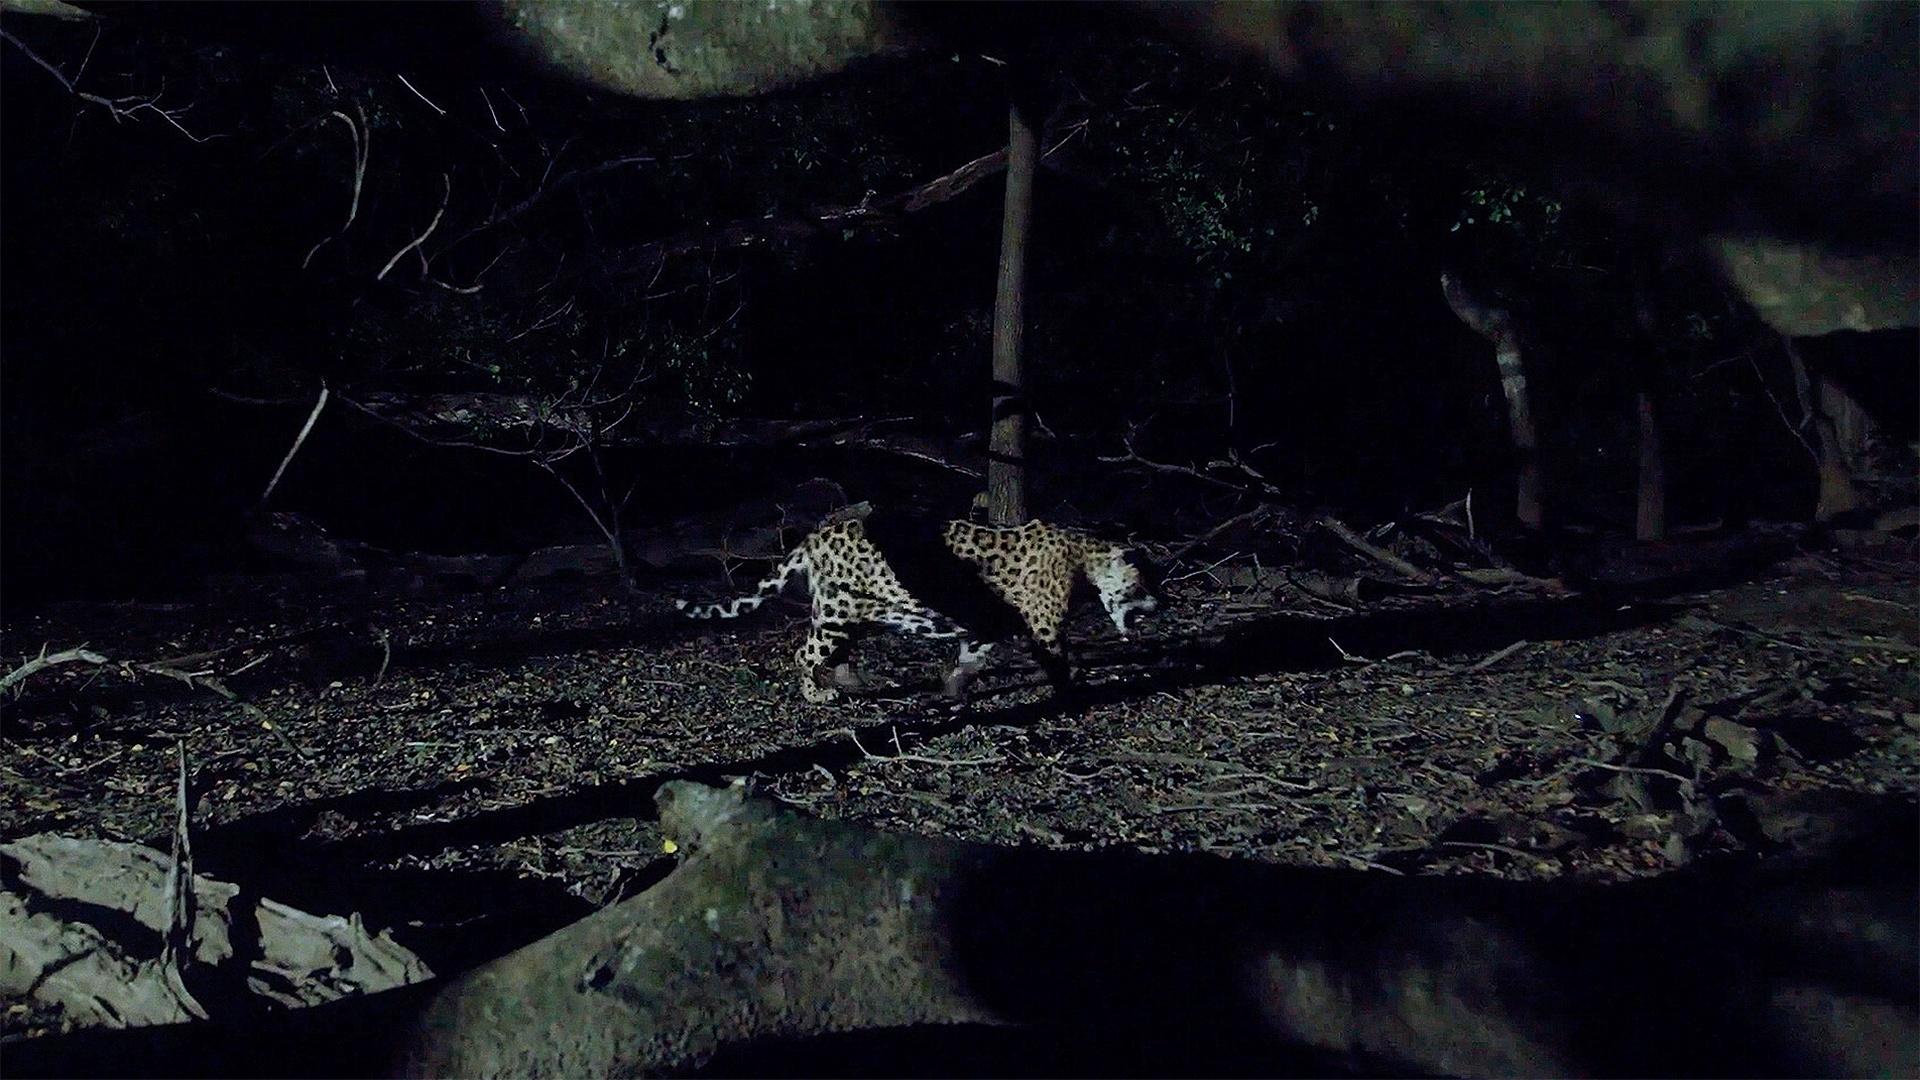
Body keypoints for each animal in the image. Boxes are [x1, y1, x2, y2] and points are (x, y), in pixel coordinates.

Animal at [676, 509, 1159, 704]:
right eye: (1143, 581)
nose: (1160, 603)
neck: (1084, 561)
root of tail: (816, 536)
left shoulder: (985, 625)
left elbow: (972, 657)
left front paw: (952, 688)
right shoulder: (1044, 627)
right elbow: (1059, 662)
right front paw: (1071, 695)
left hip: (847, 610)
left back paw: (850, 680)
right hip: (835, 611)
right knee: (803, 653)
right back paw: (818, 693)